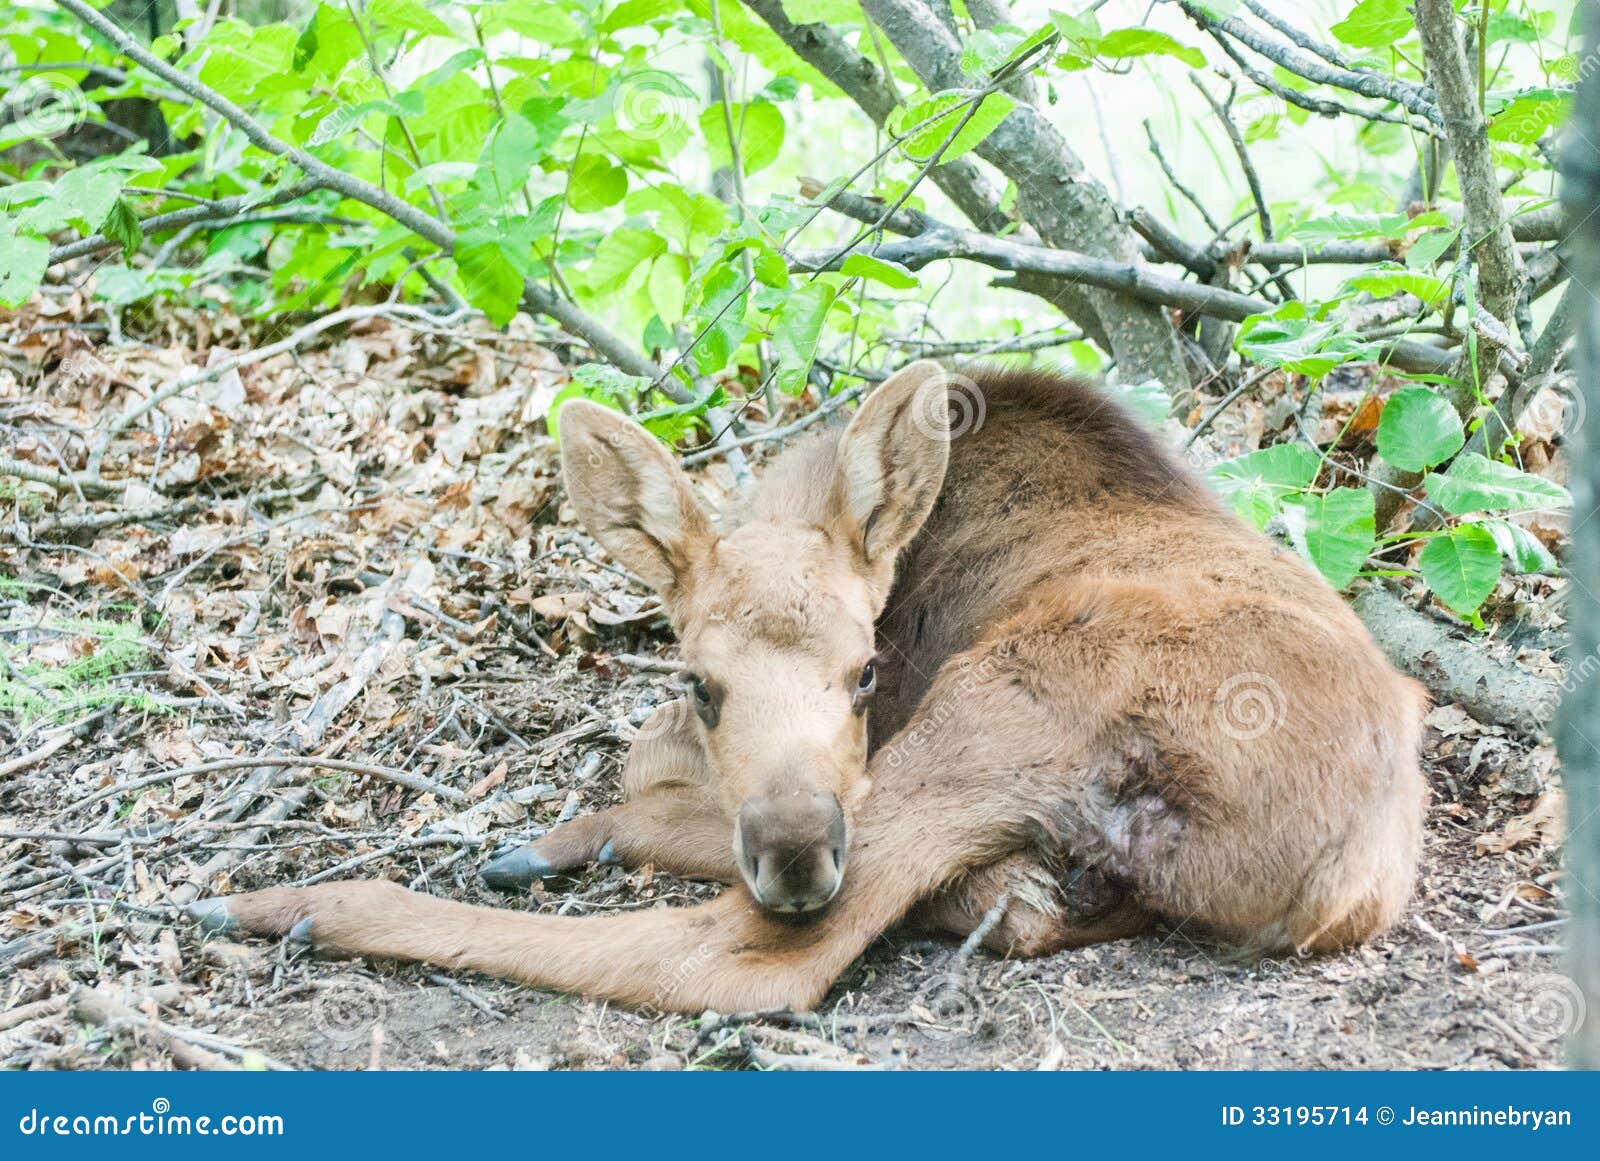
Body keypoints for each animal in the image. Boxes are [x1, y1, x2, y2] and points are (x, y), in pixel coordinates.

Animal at [186, 360, 1428, 1014]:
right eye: (700, 681)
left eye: (866, 667)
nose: (792, 849)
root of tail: (1334, 879)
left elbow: (649, 787)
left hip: (996, 704)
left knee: (733, 960)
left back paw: (294, 903)